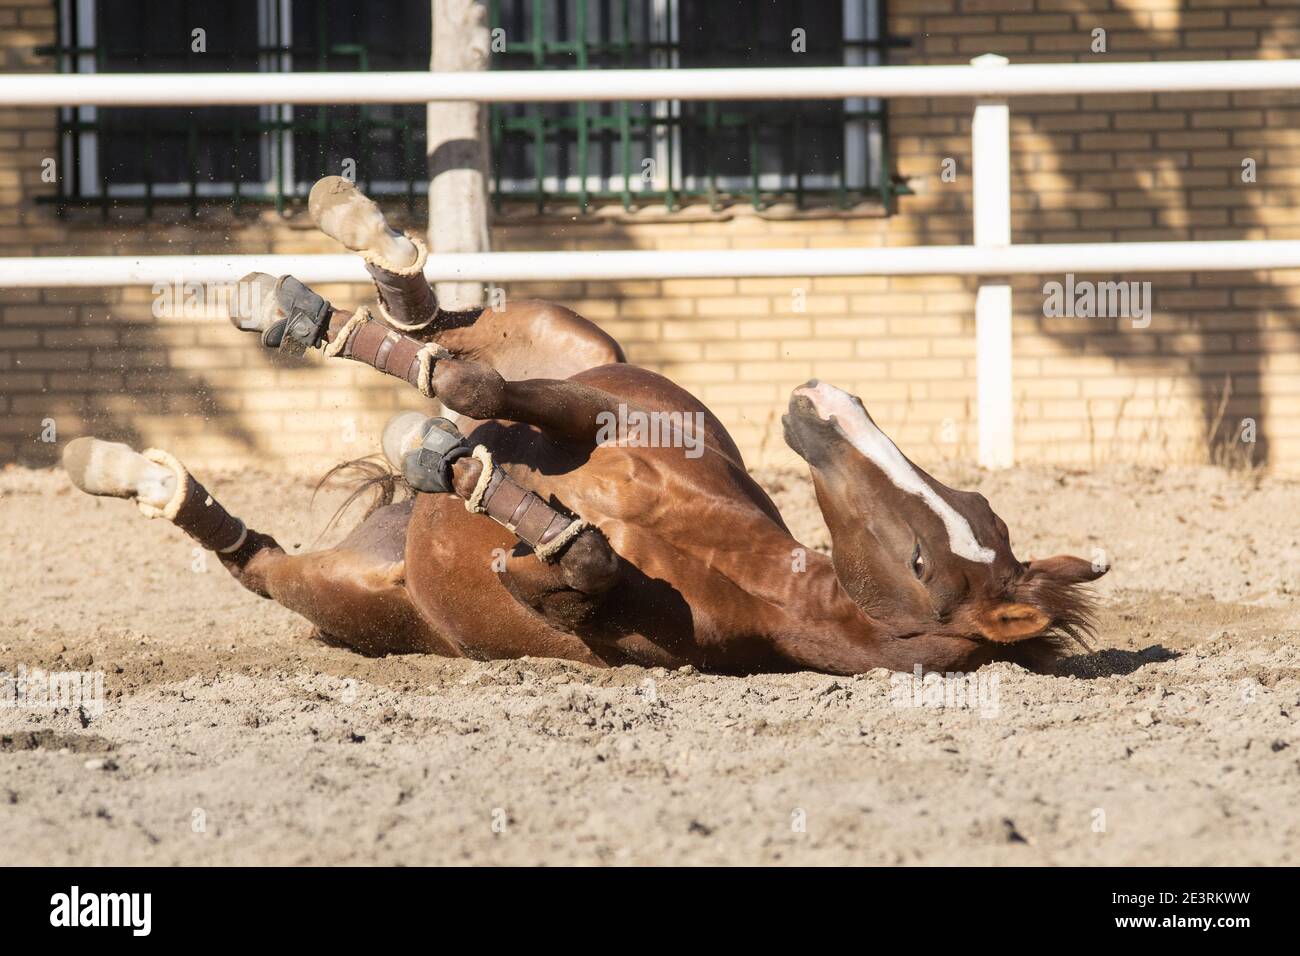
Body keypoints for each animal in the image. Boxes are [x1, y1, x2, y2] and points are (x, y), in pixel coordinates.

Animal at [63, 177, 1106, 675]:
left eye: (922, 559)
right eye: (959, 503)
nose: (828, 403)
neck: (732, 558)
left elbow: (576, 559)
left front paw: (474, 481)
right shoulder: (617, 408)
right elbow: (484, 391)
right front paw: (454, 450)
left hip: (335, 596)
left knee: (257, 554)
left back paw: (133, 471)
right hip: (580, 339)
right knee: (438, 329)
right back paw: (325, 274)